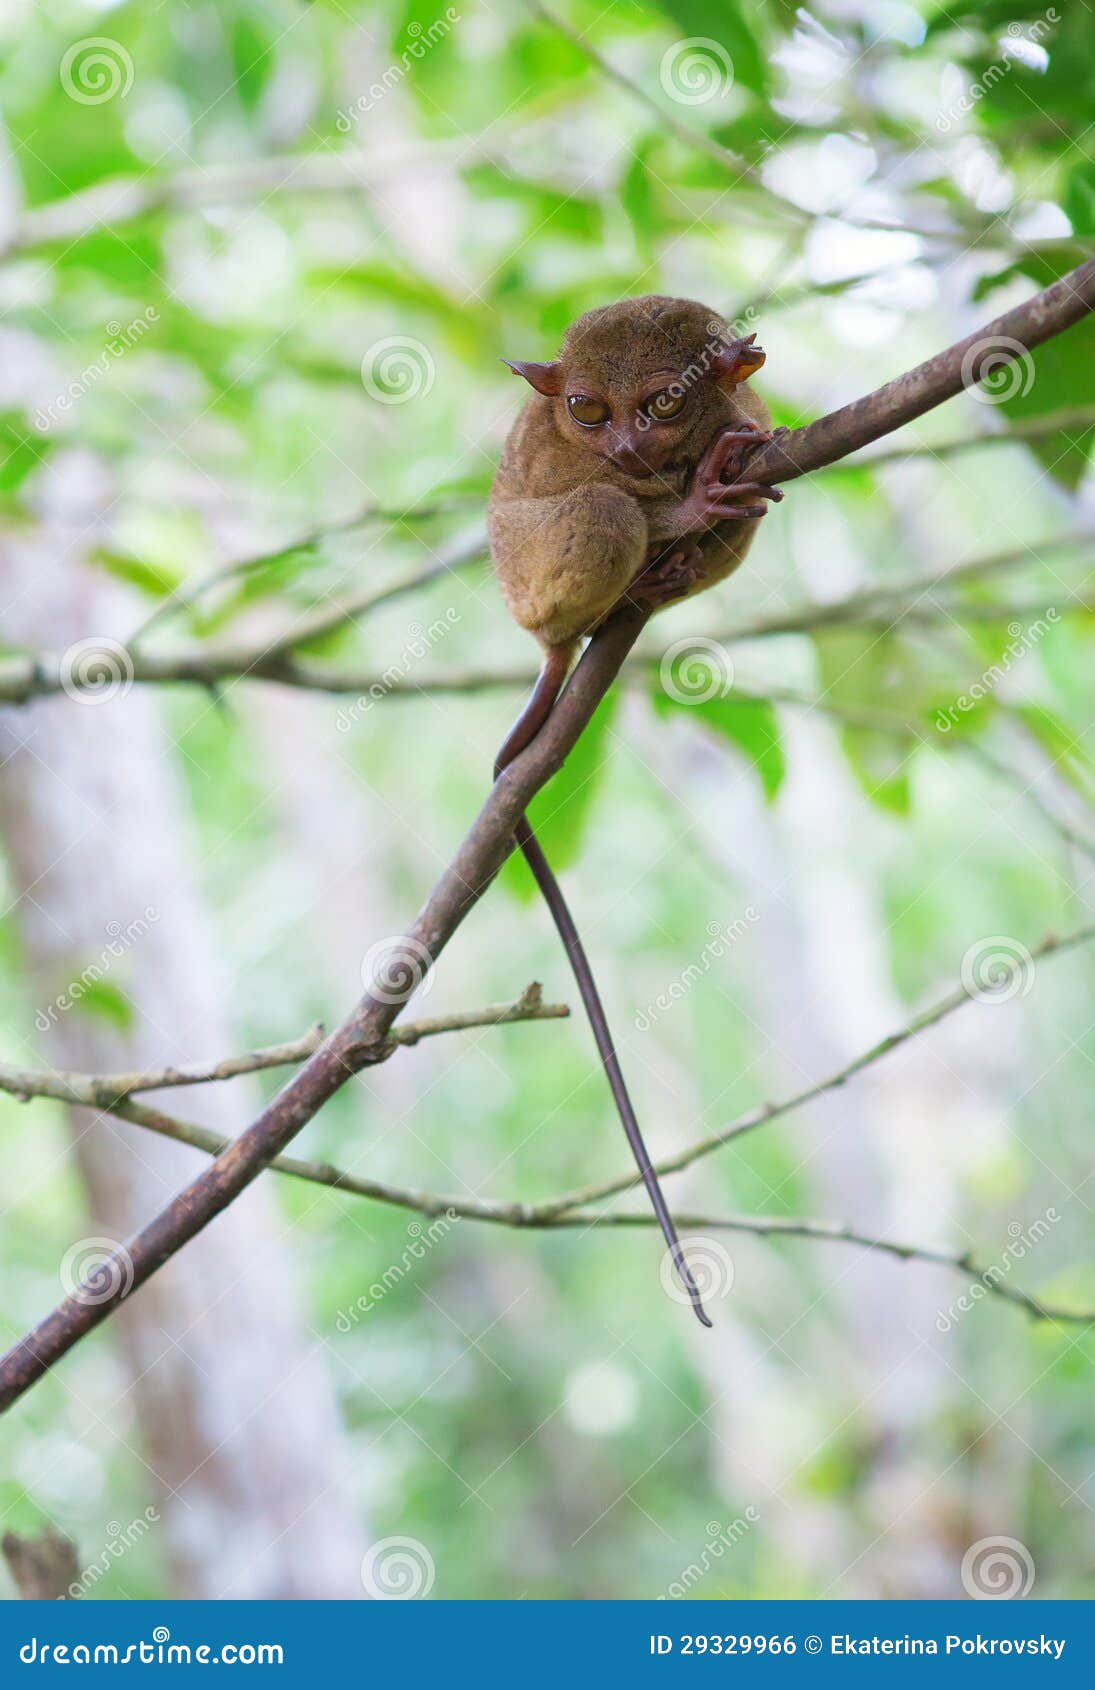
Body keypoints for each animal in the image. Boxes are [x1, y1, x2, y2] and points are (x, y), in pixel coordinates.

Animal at [488, 295, 784, 1328]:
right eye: (584, 409)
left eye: (661, 402)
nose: (619, 443)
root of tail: (538, 636)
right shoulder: (556, 458)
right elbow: (608, 492)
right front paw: (686, 501)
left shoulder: (753, 414)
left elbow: (753, 434)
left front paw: (714, 465)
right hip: (534, 571)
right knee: (607, 510)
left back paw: (666, 575)